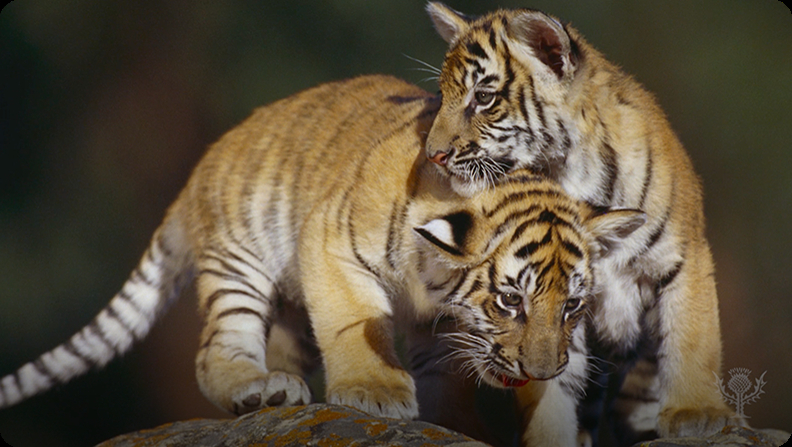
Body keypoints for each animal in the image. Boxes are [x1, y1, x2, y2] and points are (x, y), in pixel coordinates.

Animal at [0, 75, 644, 424]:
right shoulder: (331, 246)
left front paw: (458, 425)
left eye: (572, 308)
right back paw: (261, 387)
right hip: (239, 262)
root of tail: (199, 169)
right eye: (510, 302)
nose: (545, 371)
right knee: (214, 352)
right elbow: (357, 322)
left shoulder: (444, 321)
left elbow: (449, 374)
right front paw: (376, 394)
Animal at [422, 2, 740, 444]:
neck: (565, 172)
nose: (432, 154)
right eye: (442, 95)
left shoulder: (682, 256)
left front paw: (697, 412)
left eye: (483, 97)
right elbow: (550, 384)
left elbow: (693, 336)